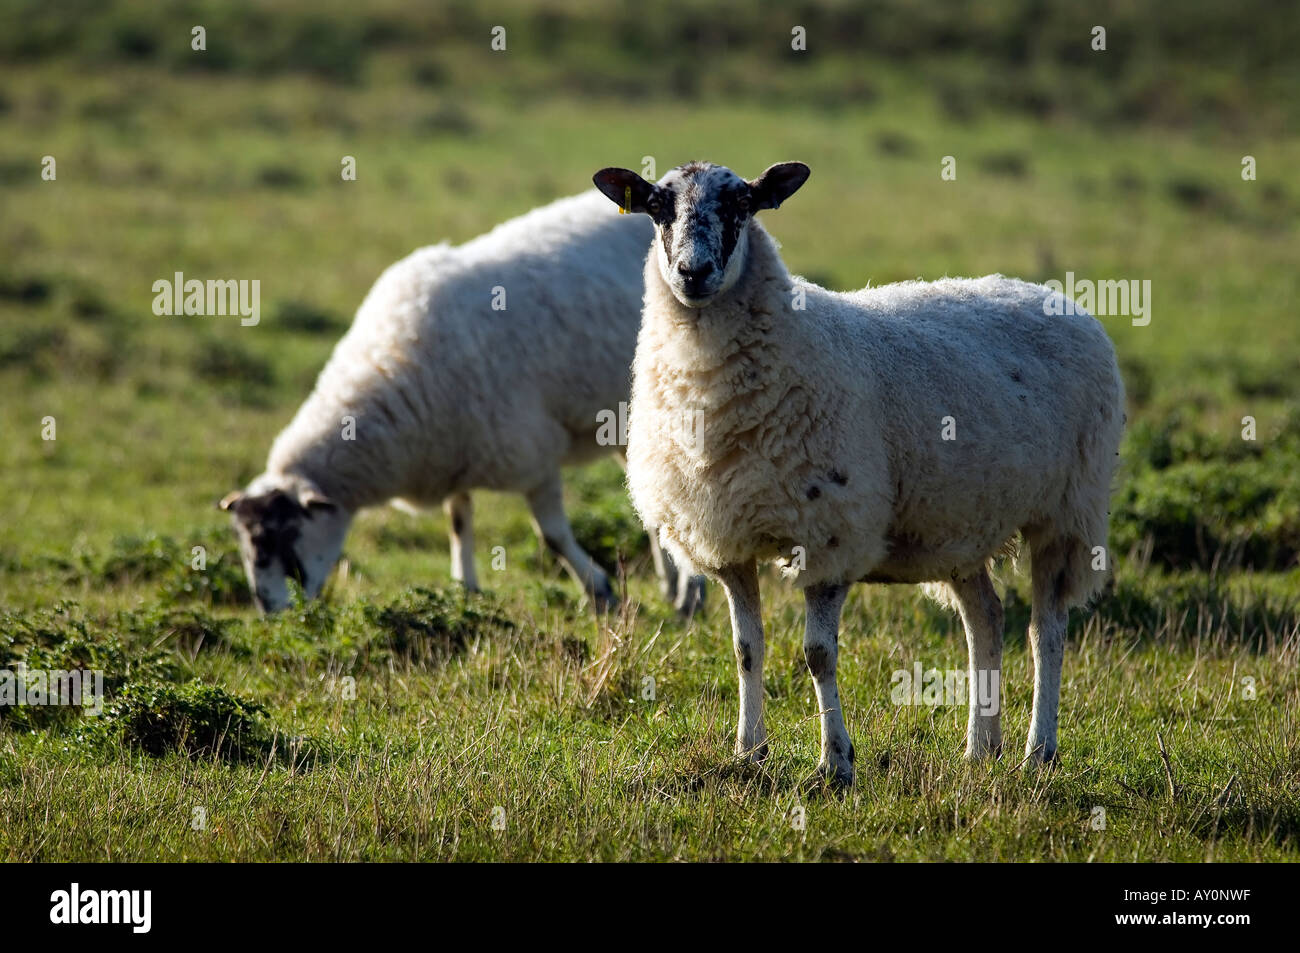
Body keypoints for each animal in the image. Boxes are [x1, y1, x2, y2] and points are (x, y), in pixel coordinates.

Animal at [220, 189, 706, 616]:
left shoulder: (531, 452)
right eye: (244, 545)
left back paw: (690, 595)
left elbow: (551, 536)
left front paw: (600, 592)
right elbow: (458, 522)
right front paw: (465, 590)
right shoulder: (456, 451)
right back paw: (672, 587)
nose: (270, 613)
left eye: (285, 538)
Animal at [593, 160, 1125, 785]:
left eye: (741, 205)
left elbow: (818, 655)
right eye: (657, 207)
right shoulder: (729, 541)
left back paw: (1038, 749)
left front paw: (835, 764)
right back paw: (980, 749)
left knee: (1047, 629)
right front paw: (749, 752)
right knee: (986, 620)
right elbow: (746, 650)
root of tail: (1055, 297)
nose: (692, 273)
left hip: (1067, 511)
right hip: (962, 522)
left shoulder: (830, 535)